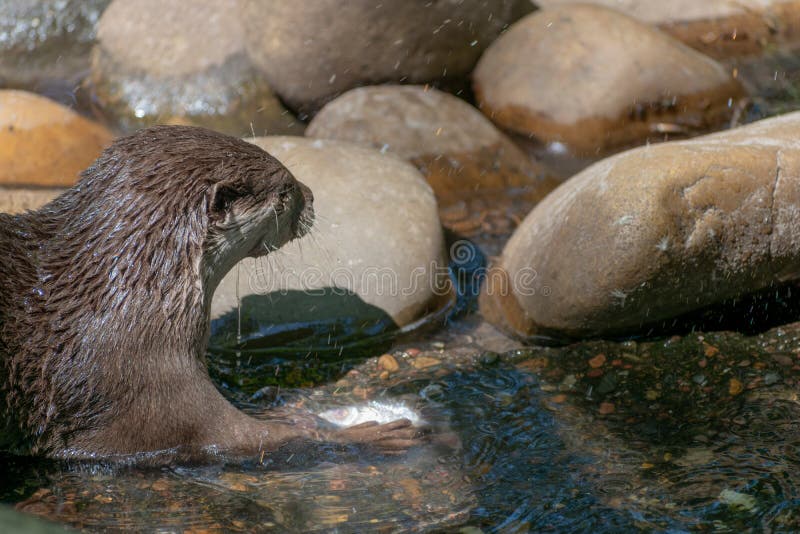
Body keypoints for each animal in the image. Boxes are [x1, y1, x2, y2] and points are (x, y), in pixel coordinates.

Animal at [0, 125, 421, 461]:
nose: (312, 194)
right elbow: (254, 439)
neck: (137, 294)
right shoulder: (147, 382)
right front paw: (369, 436)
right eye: (286, 190)